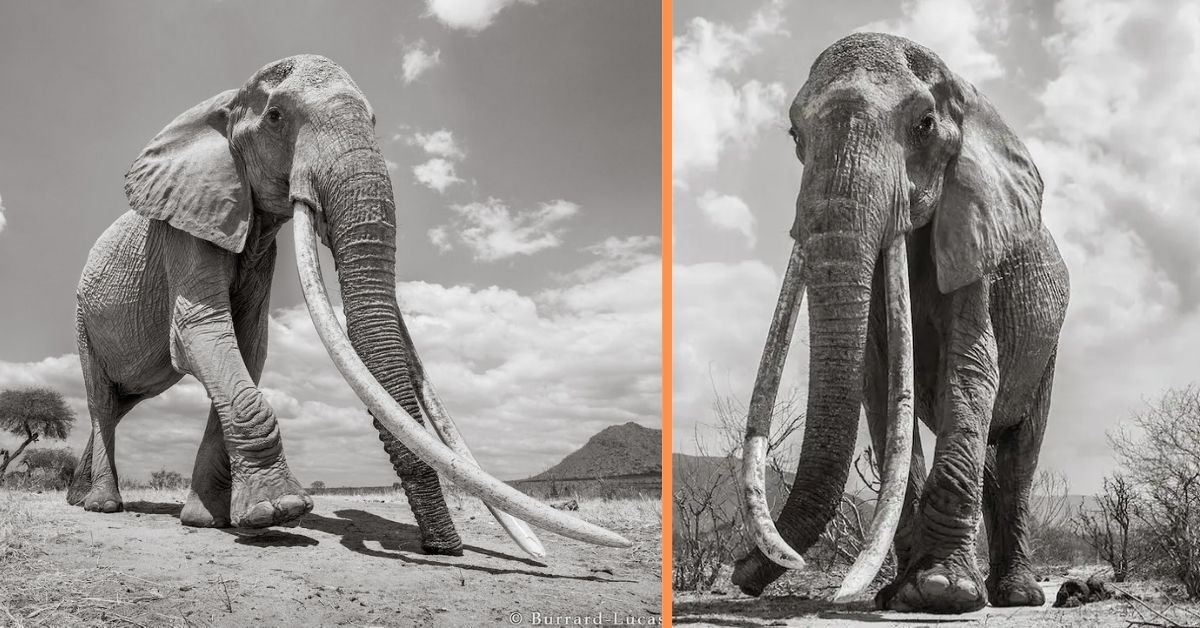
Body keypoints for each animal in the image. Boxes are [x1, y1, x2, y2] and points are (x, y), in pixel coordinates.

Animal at [65, 54, 629, 559]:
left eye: (375, 122)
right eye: (276, 117)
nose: (440, 548)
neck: (221, 105)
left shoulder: (257, 245)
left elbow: (248, 346)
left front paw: (209, 521)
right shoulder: (185, 228)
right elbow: (201, 333)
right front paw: (280, 512)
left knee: (120, 404)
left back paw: (79, 497)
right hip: (82, 321)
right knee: (101, 400)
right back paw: (103, 506)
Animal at [732, 33, 1069, 613]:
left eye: (924, 125)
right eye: (796, 135)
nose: (740, 575)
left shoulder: (974, 236)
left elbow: (971, 368)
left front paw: (943, 592)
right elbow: (883, 385)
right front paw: (898, 595)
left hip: (1049, 348)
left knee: (1020, 453)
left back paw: (1017, 595)